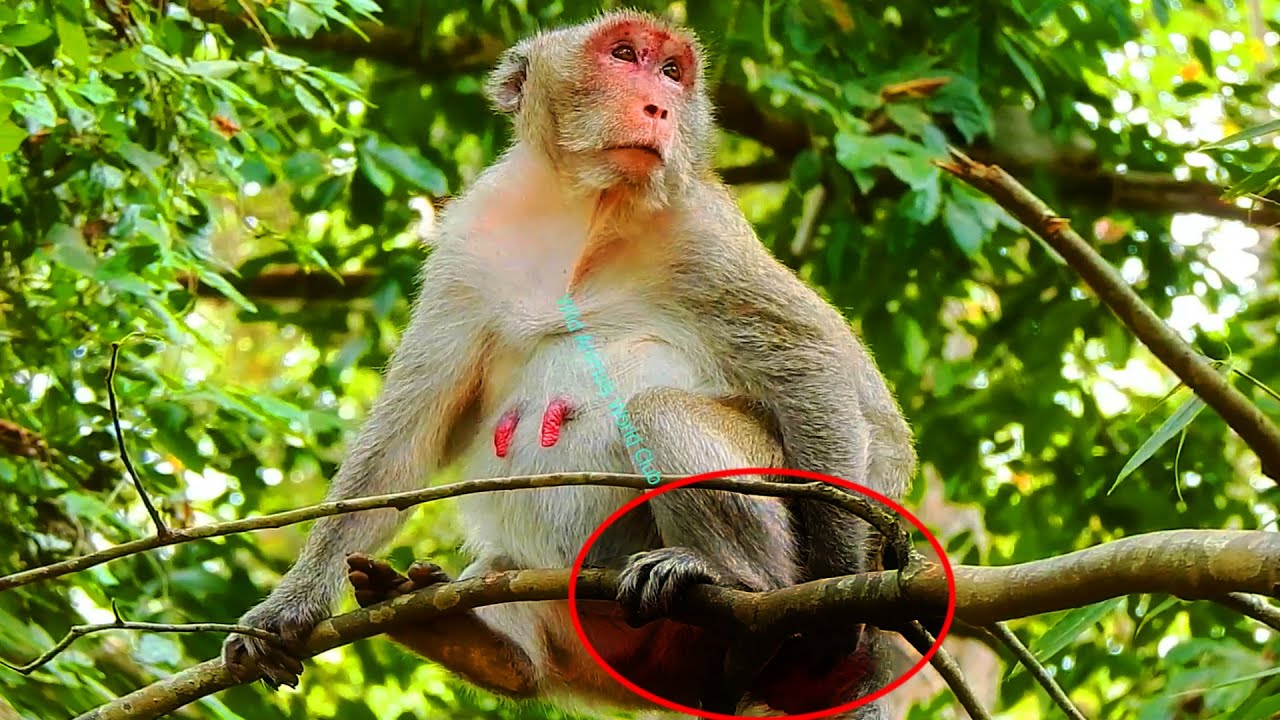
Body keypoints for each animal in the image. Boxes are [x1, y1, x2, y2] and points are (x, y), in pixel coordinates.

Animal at [222, 9, 916, 719]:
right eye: (625, 55)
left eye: (672, 71)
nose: (659, 106)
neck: (586, 208)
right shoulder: (467, 248)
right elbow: (406, 441)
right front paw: (288, 610)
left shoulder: (704, 235)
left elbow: (828, 377)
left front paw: (838, 589)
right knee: (526, 643)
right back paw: (469, 640)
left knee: (665, 411)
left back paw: (746, 589)